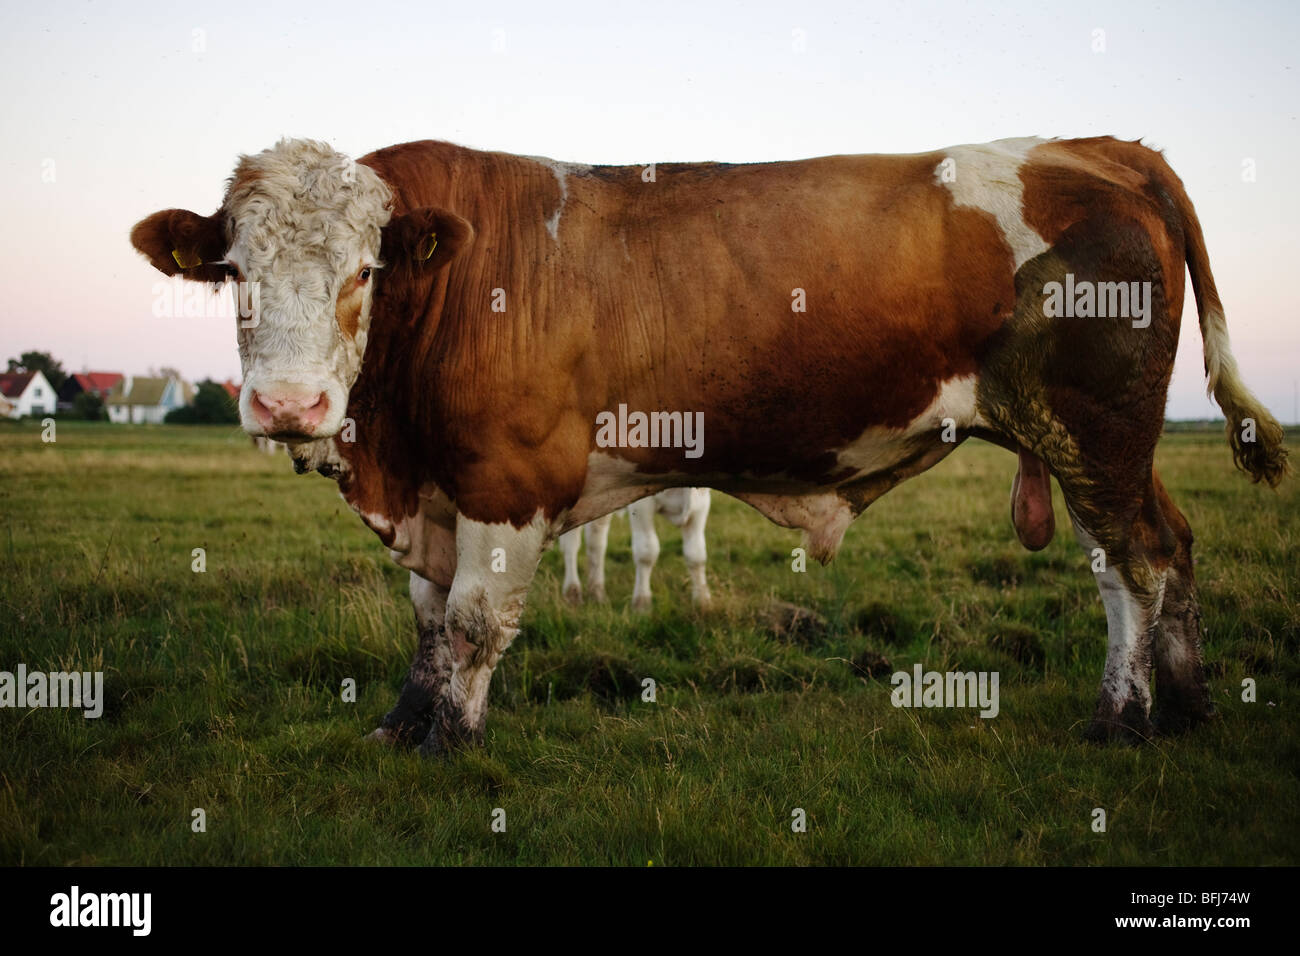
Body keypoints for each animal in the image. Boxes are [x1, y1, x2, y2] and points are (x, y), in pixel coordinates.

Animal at [559, 487, 712, 609]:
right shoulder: (641, 505)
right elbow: (647, 551)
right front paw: (642, 603)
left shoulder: (701, 502)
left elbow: (696, 554)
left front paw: (702, 601)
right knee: (571, 544)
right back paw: (572, 592)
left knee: (596, 540)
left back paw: (596, 592)